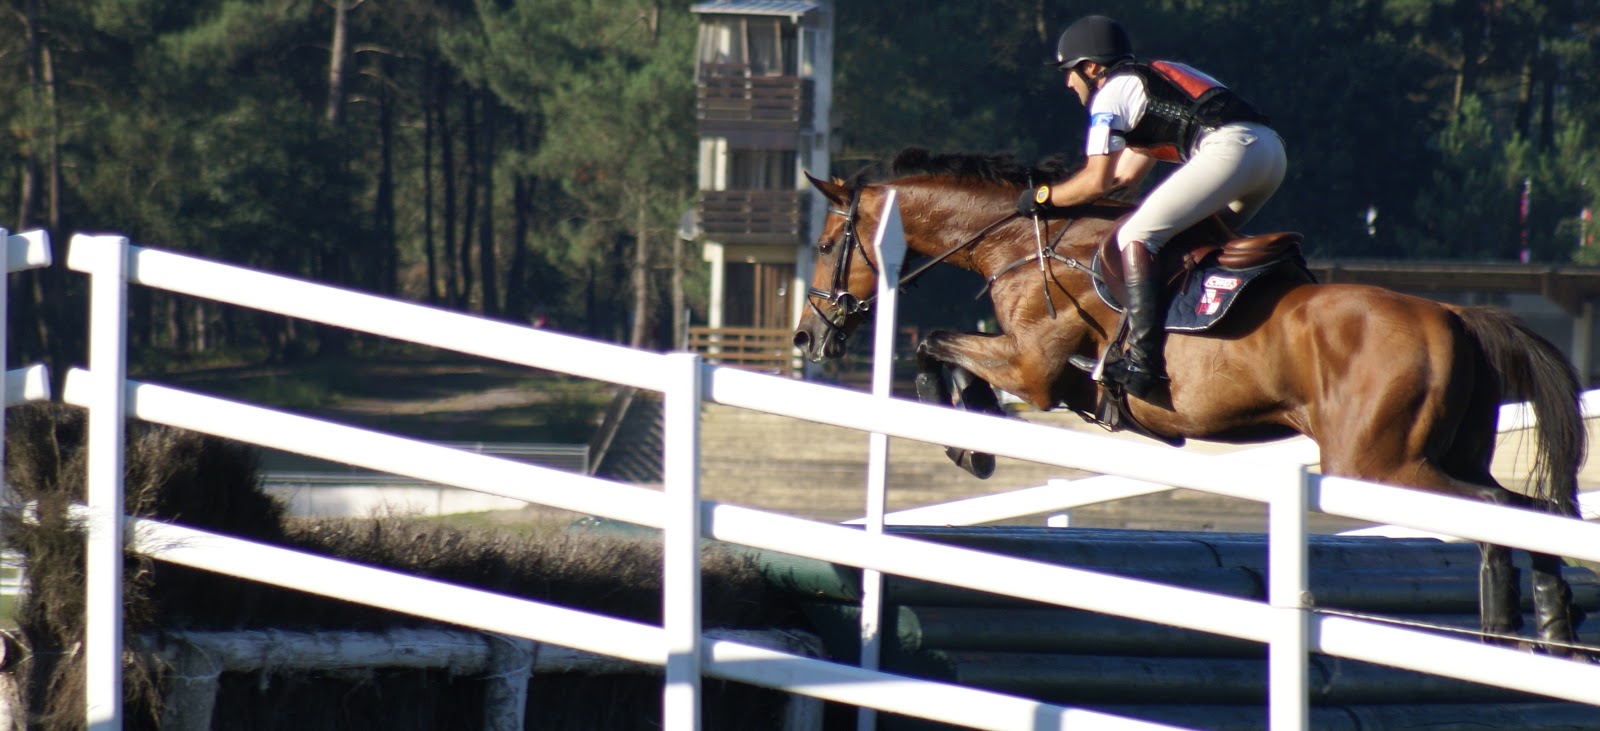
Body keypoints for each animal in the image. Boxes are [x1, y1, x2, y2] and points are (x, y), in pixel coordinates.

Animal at [793, 148, 1589, 652]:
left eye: (828, 242)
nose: (807, 334)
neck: (1023, 241)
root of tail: (1456, 314)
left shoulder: (1035, 367)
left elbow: (934, 343)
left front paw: (971, 436)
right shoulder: (1064, 381)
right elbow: (942, 344)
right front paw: (972, 423)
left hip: (1379, 463)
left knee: (1496, 516)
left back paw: (1517, 629)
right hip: (1447, 452)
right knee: (1529, 512)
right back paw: (1544, 632)